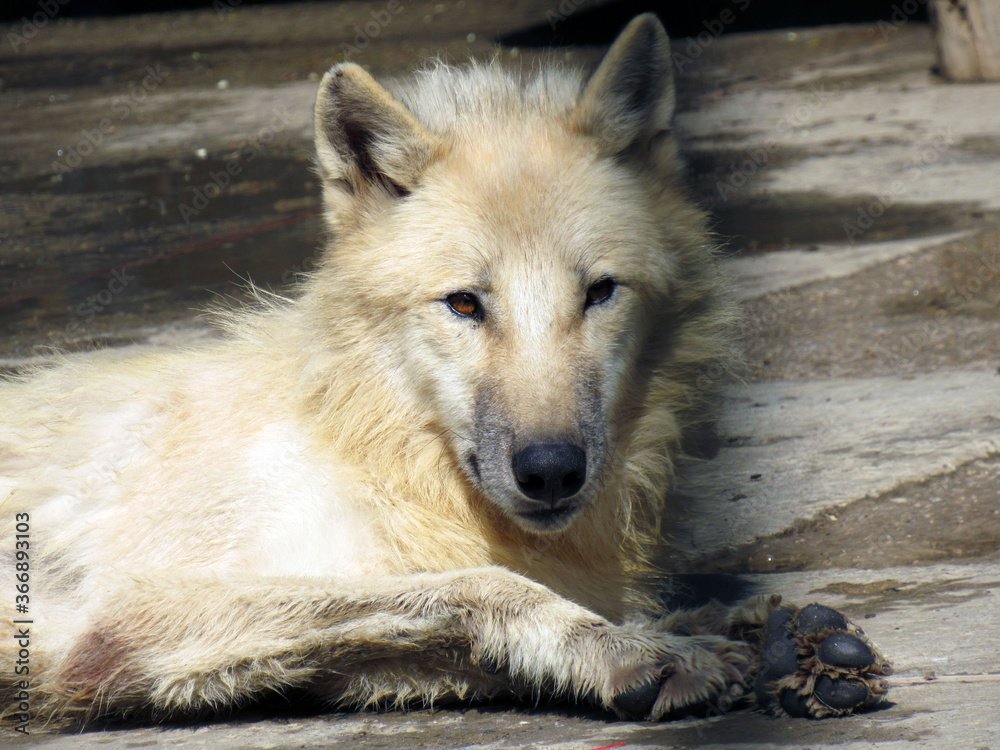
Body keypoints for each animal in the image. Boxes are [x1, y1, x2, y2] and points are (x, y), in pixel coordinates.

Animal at [0, 15, 889, 730]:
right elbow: (481, 586)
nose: (551, 471)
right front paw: (633, 648)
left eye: (599, 292)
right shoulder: (125, 621)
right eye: (464, 304)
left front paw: (737, 636)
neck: (372, 453)